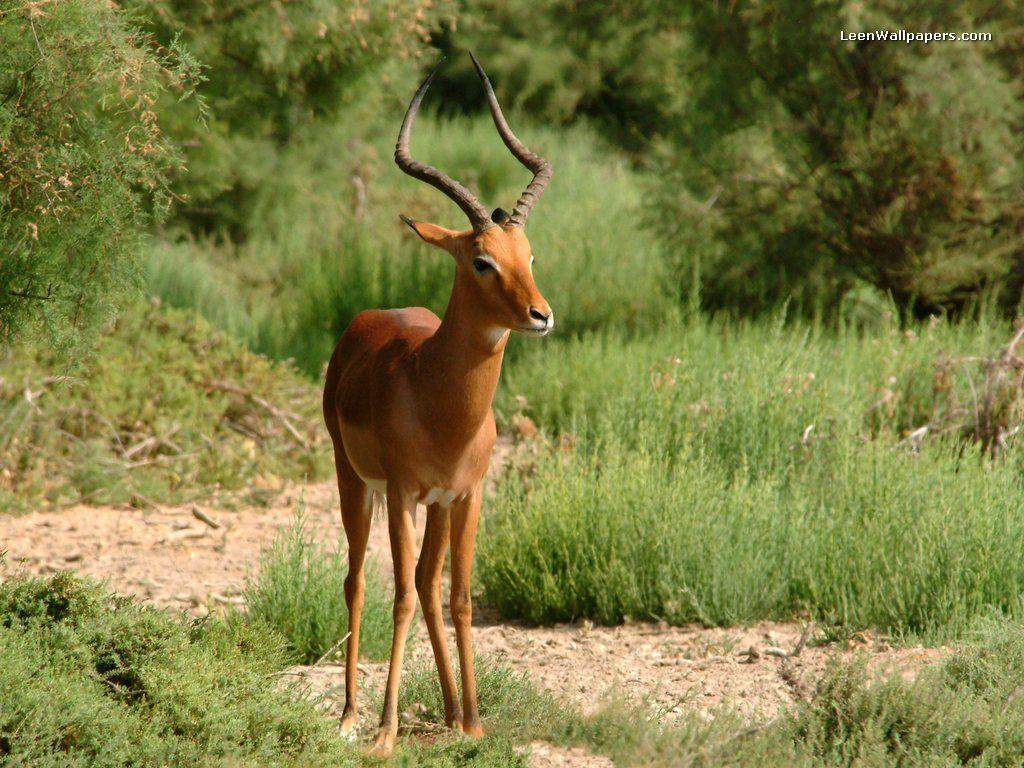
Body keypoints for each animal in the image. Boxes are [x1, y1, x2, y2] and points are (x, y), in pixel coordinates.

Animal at [322, 53, 553, 756]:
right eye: (481, 260)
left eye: (528, 255)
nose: (541, 315)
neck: (442, 406)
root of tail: (367, 321)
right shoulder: (401, 492)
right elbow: (396, 595)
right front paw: (384, 732)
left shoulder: (467, 494)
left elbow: (460, 597)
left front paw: (474, 724)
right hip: (354, 482)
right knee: (360, 581)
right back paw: (351, 716)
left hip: (437, 507)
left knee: (428, 584)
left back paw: (451, 713)